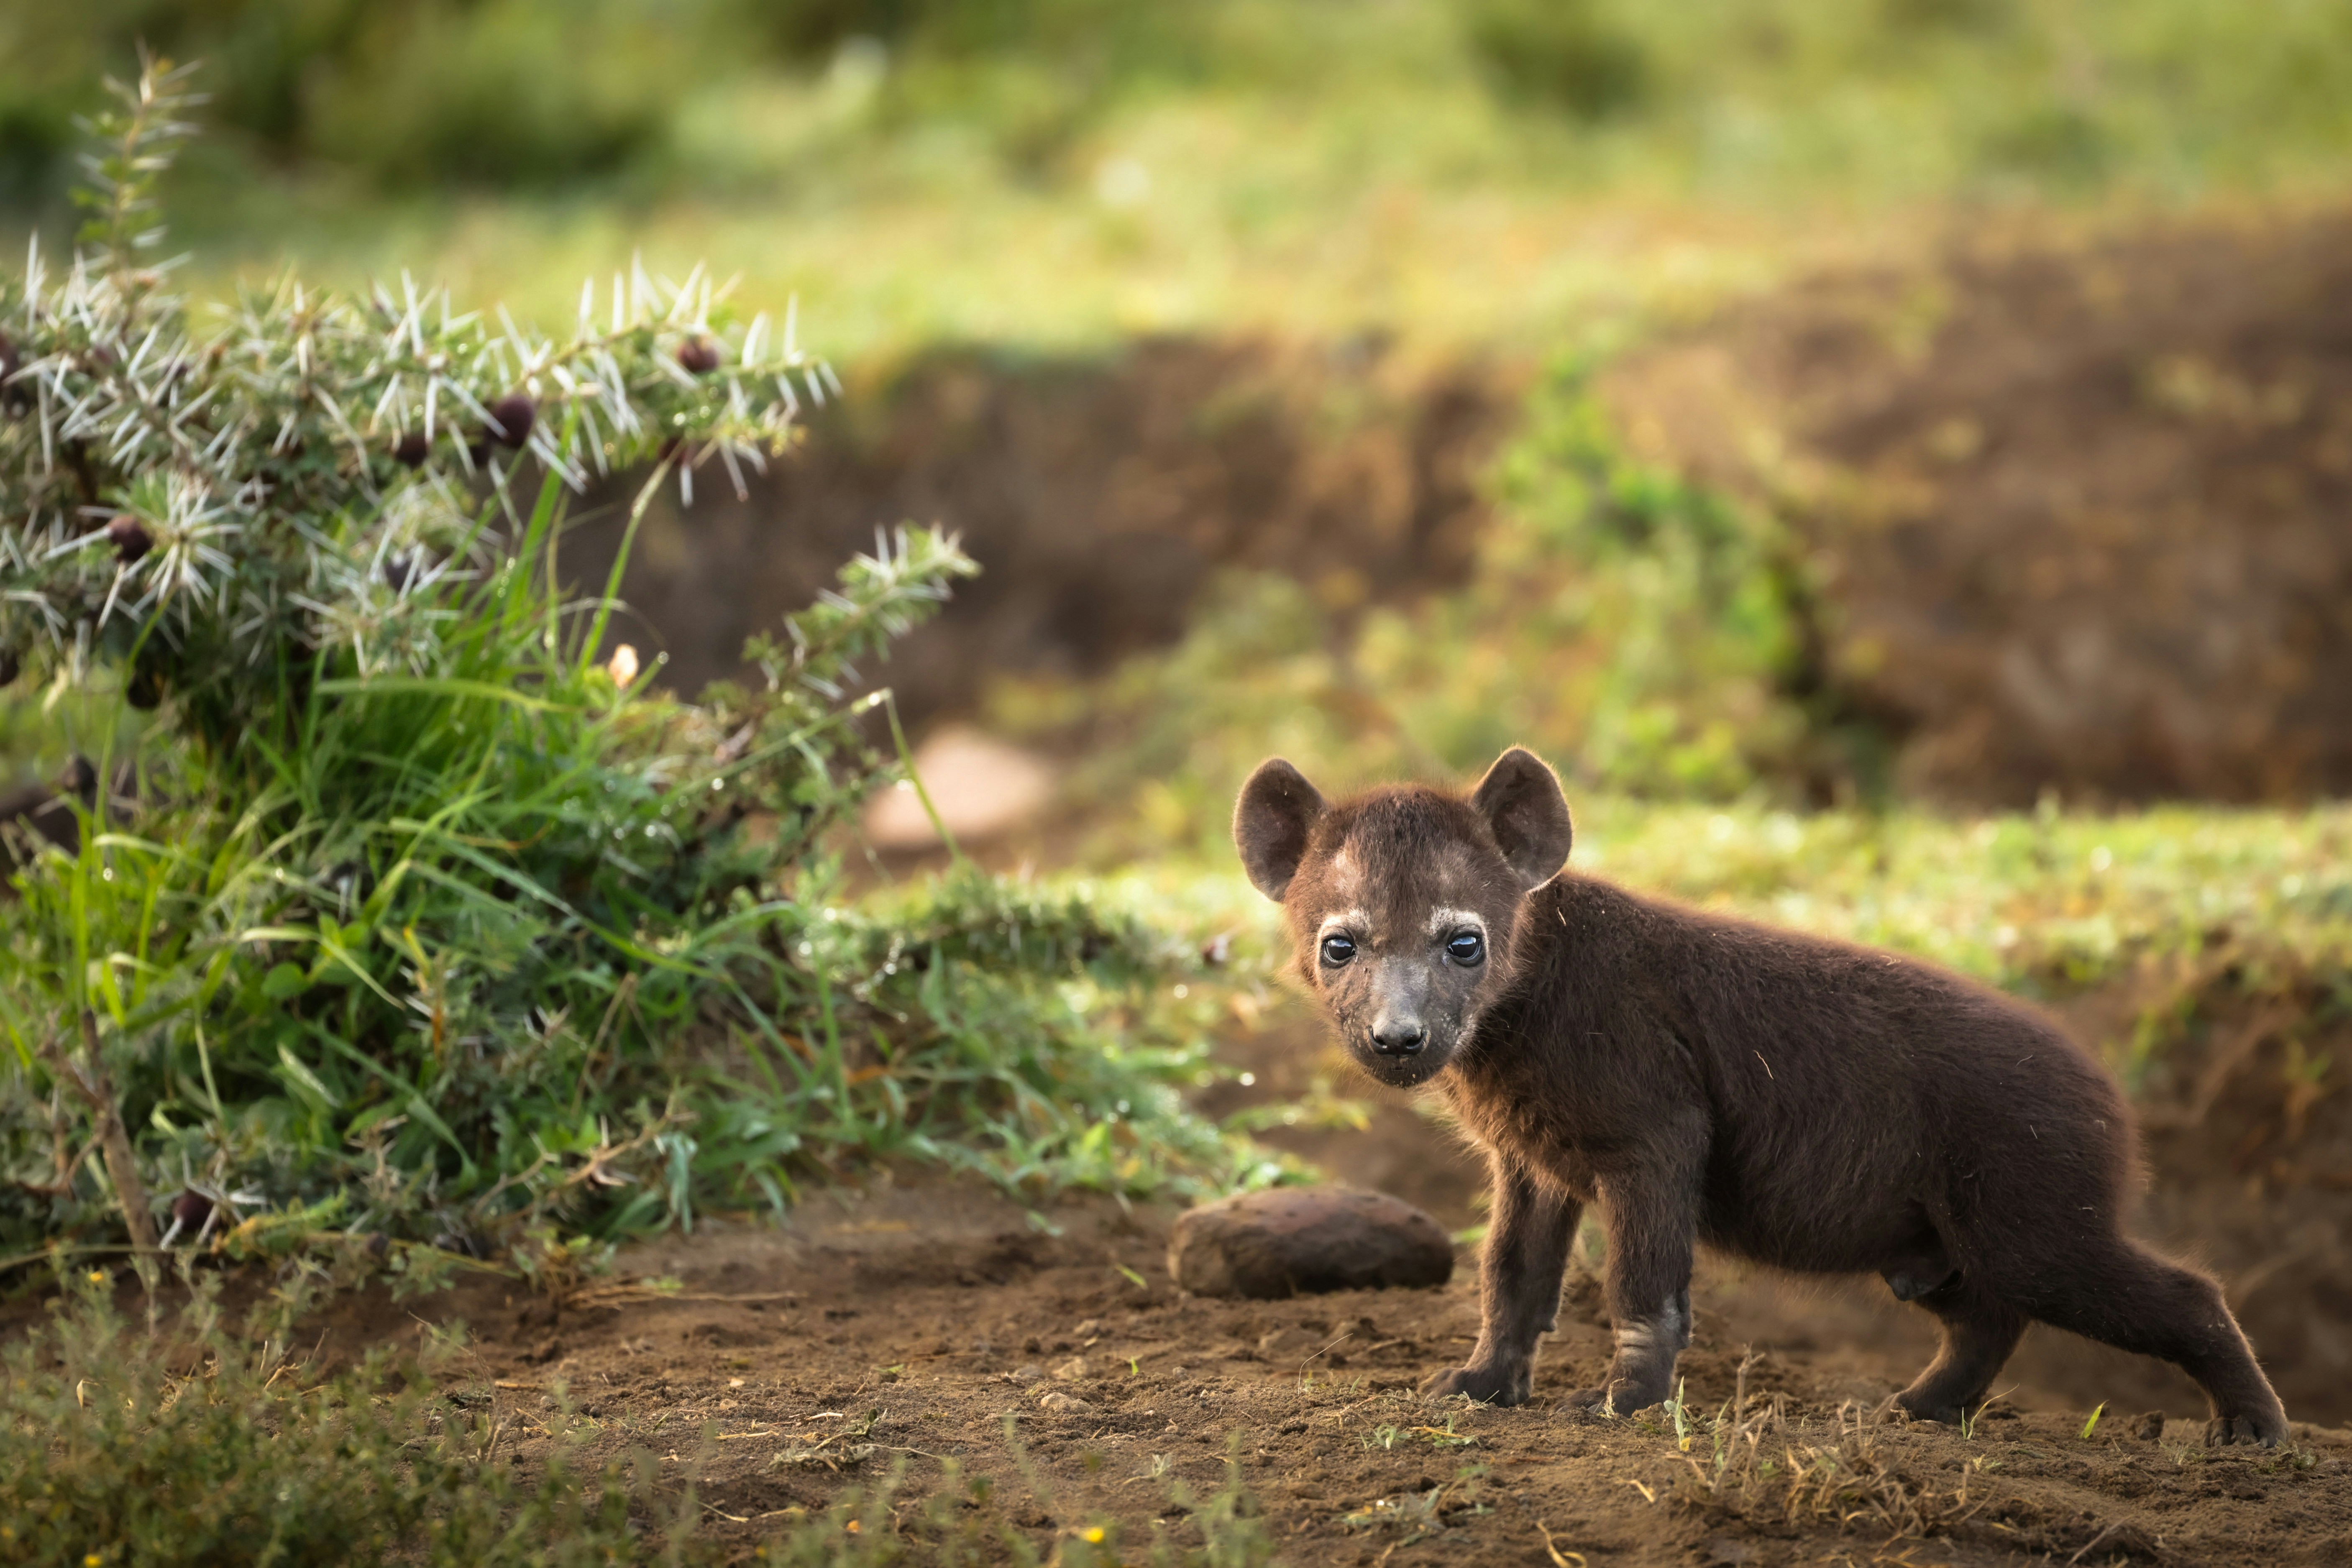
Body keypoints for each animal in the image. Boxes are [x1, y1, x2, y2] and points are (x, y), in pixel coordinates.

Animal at [1232, 746, 2288, 1445]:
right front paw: (1476, 1385)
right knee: (1987, 1312)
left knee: (2164, 1289)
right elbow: (1511, 1273)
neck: (1519, 1017)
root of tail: (2108, 1089)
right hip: (1933, 1243)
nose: (1398, 1037)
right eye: (1340, 944)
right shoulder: (1531, 1159)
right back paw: (1914, 1408)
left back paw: (2250, 1431)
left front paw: (1619, 1406)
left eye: (1463, 941)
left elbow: (1641, 1277)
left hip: (2030, 1210)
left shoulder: (1654, 1129)